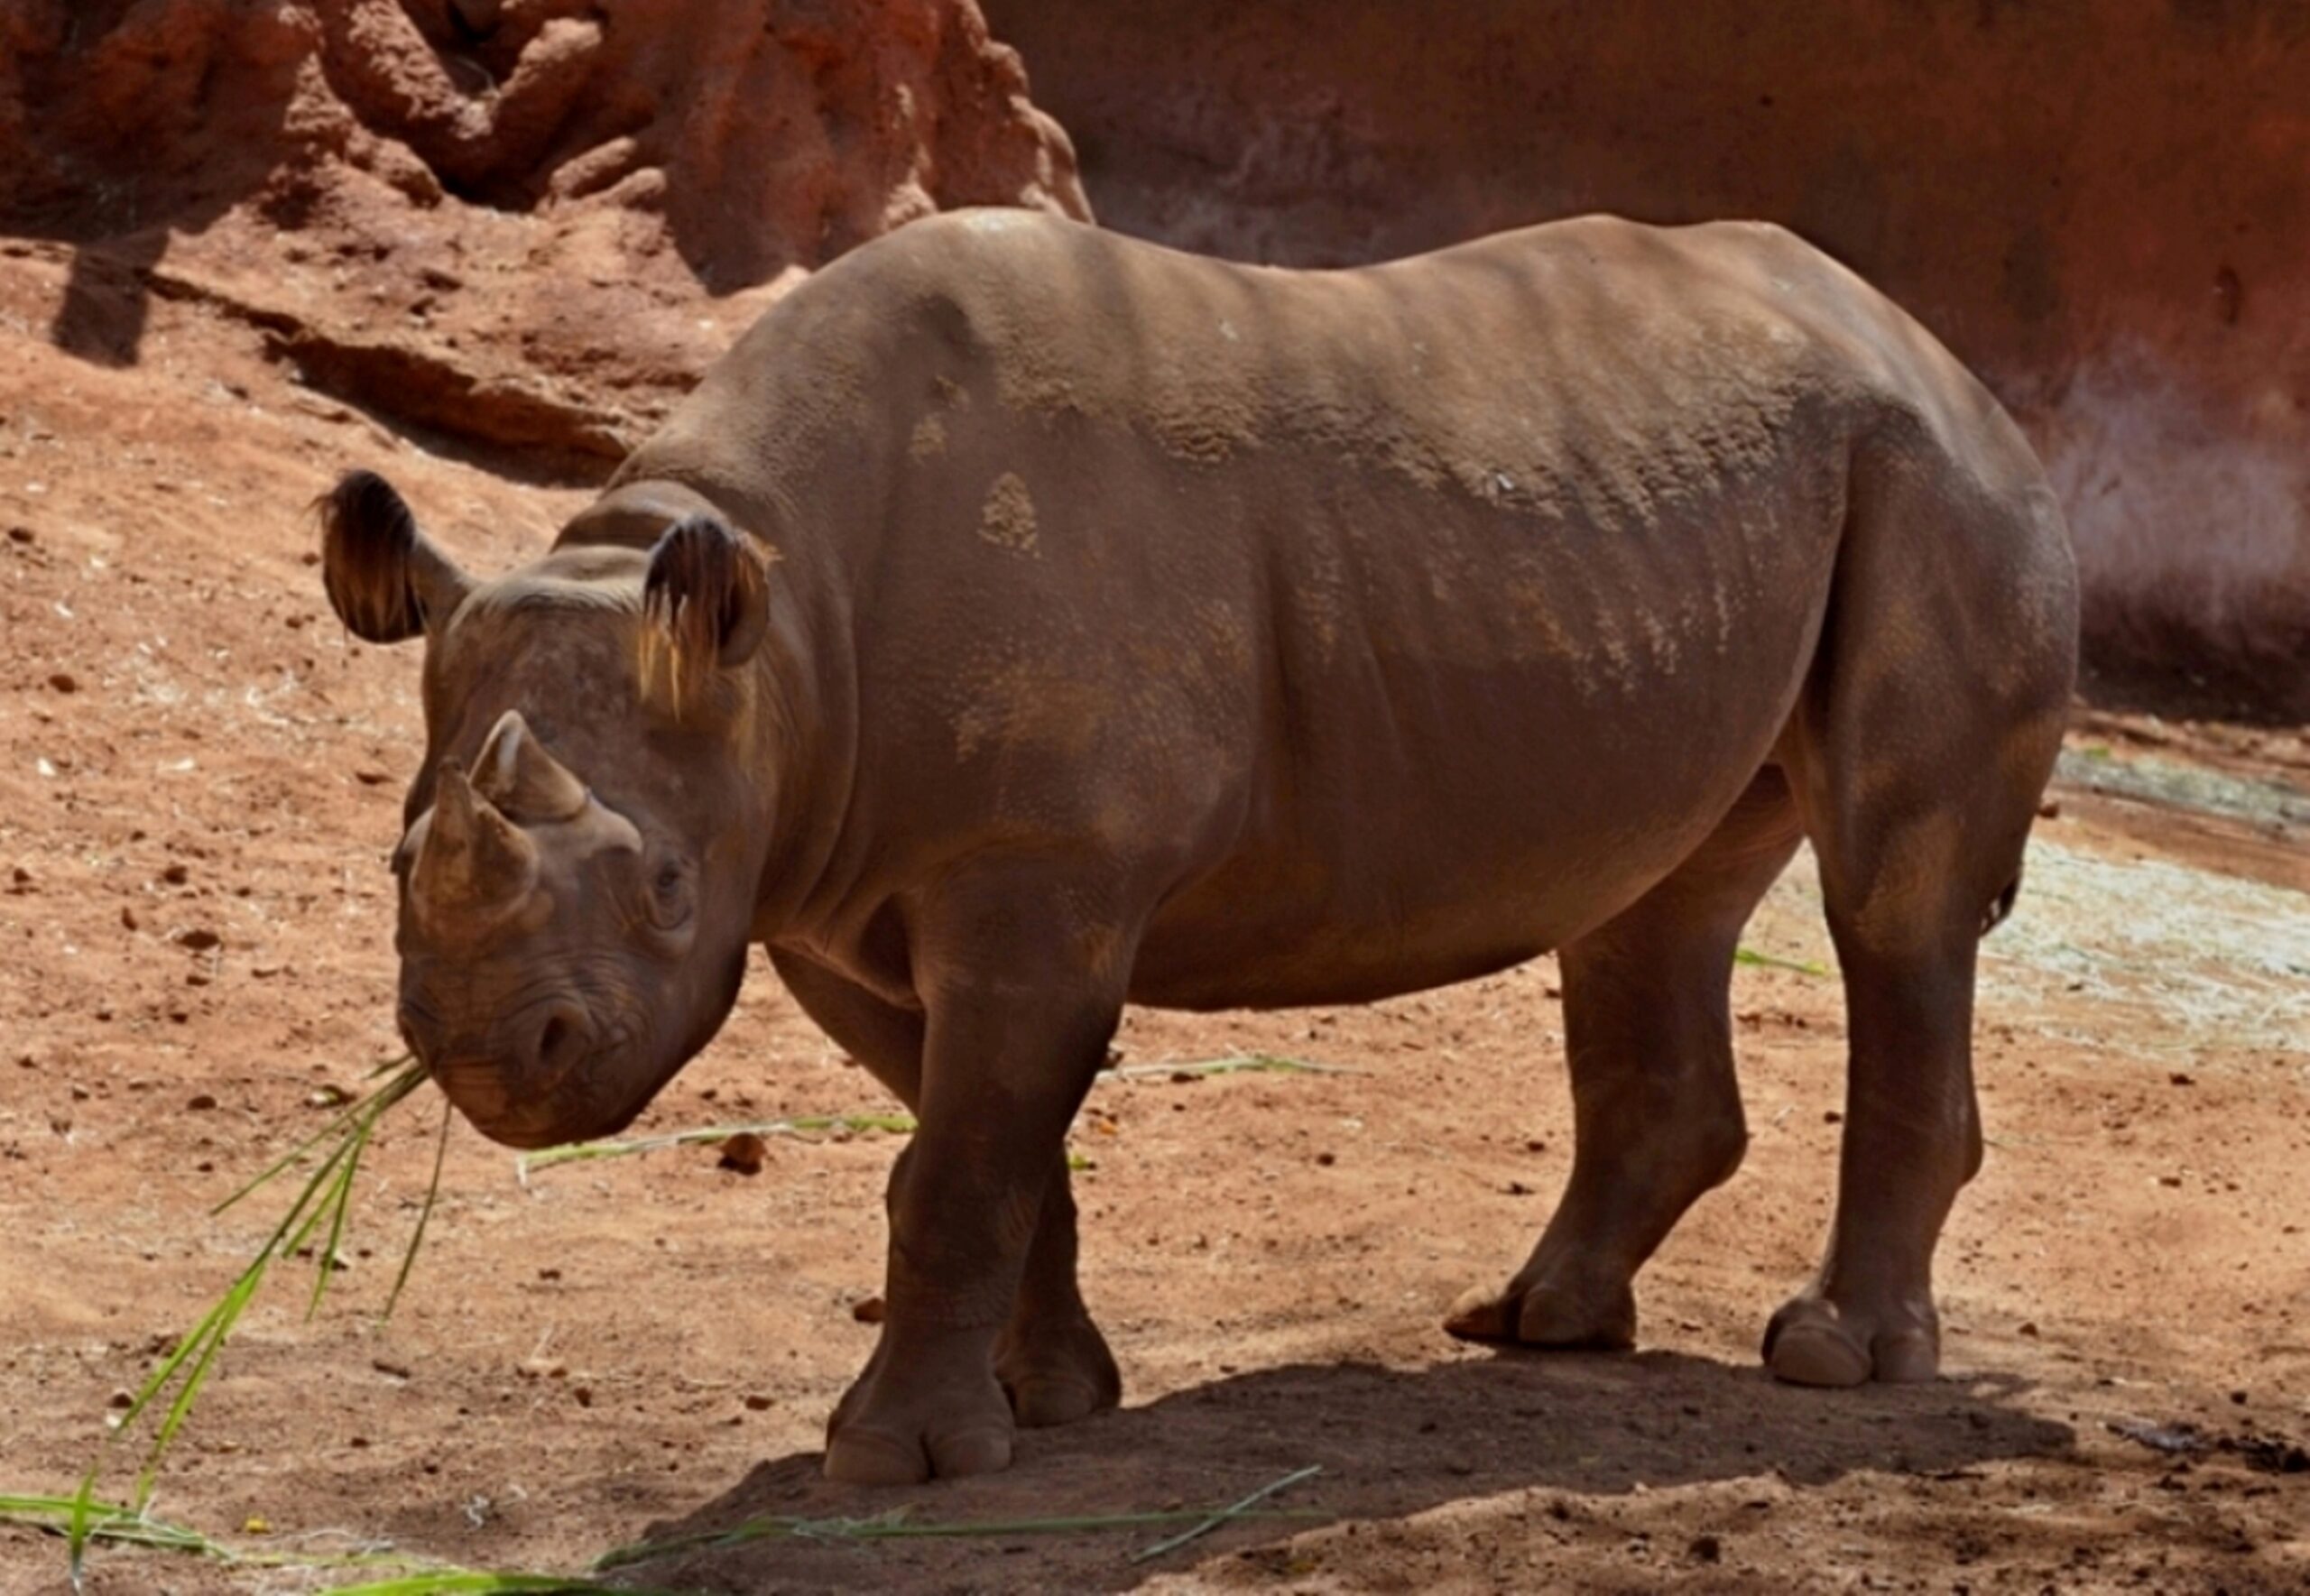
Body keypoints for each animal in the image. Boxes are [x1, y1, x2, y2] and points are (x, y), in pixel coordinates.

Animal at [319, 210, 2077, 1484]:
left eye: (666, 889)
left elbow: (956, 1168)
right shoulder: (837, 891)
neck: (782, 632)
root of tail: (1949, 357)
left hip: (1938, 485)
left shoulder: (1037, 870)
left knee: (1892, 896)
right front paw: (1048, 1401)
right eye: (395, 869)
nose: (488, 1056)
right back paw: (1537, 1324)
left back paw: (1831, 1360)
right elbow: (984, 1152)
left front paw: (895, 1463)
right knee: (1657, 892)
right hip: (1720, 510)